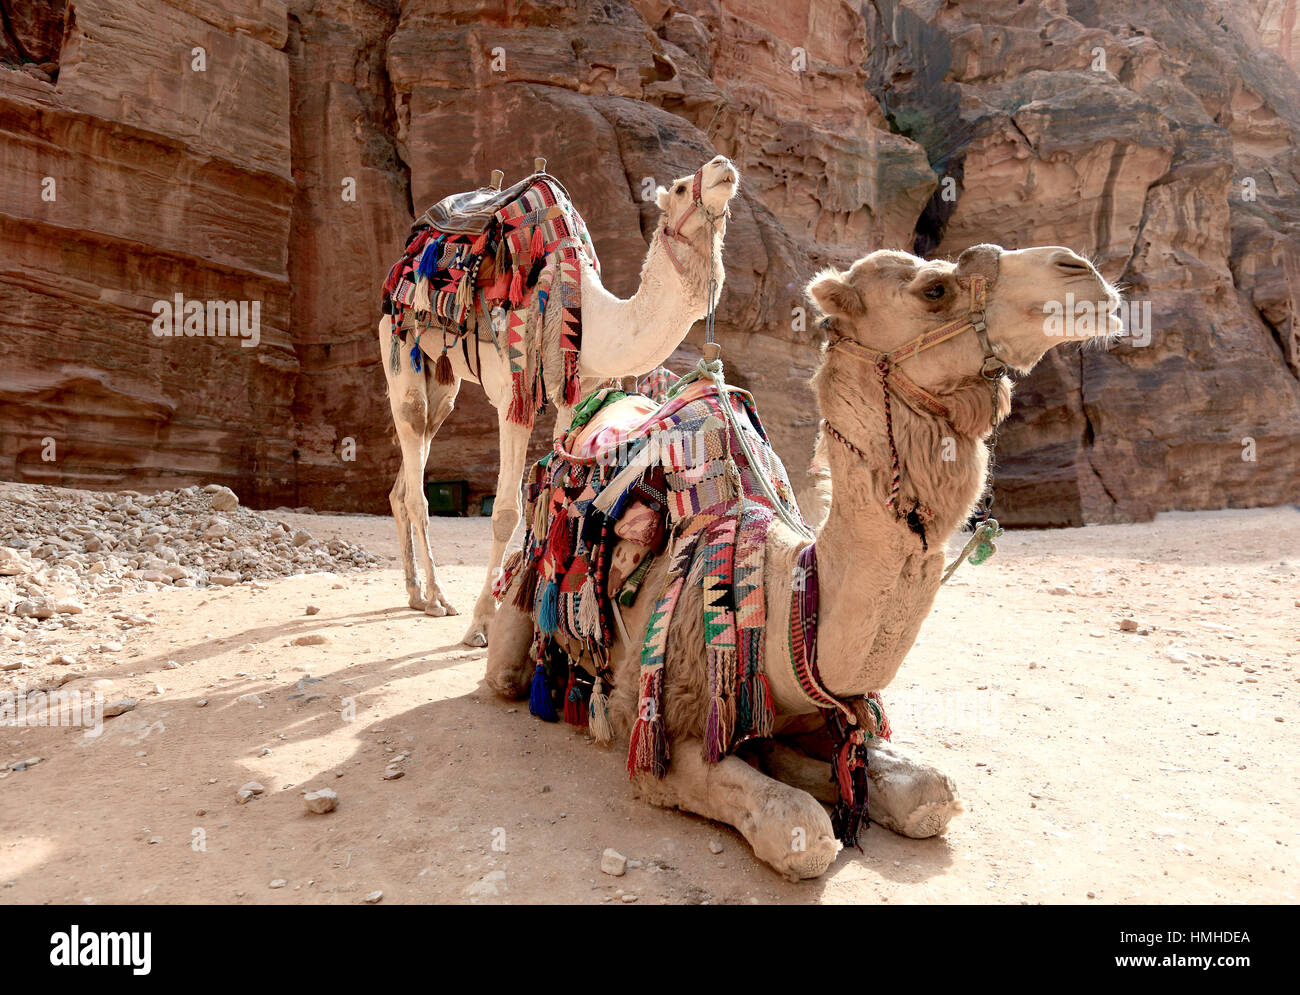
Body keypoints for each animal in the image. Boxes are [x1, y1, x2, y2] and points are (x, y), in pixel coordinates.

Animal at [379, 155, 739, 646]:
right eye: (682, 188)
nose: (724, 166)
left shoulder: (574, 394)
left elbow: (561, 476)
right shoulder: (515, 392)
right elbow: (505, 513)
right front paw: (481, 623)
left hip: (442, 378)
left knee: (410, 467)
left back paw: (416, 592)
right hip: (397, 346)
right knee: (415, 464)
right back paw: (436, 597)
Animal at [485, 242, 1121, 879]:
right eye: (934, 290)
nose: (1081, 273)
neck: (784, 588)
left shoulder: (829, 709)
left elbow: (928, 793)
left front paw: (823, 774)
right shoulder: (647, 725)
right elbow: (800, 829)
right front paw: (800, 791)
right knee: (508, 670)